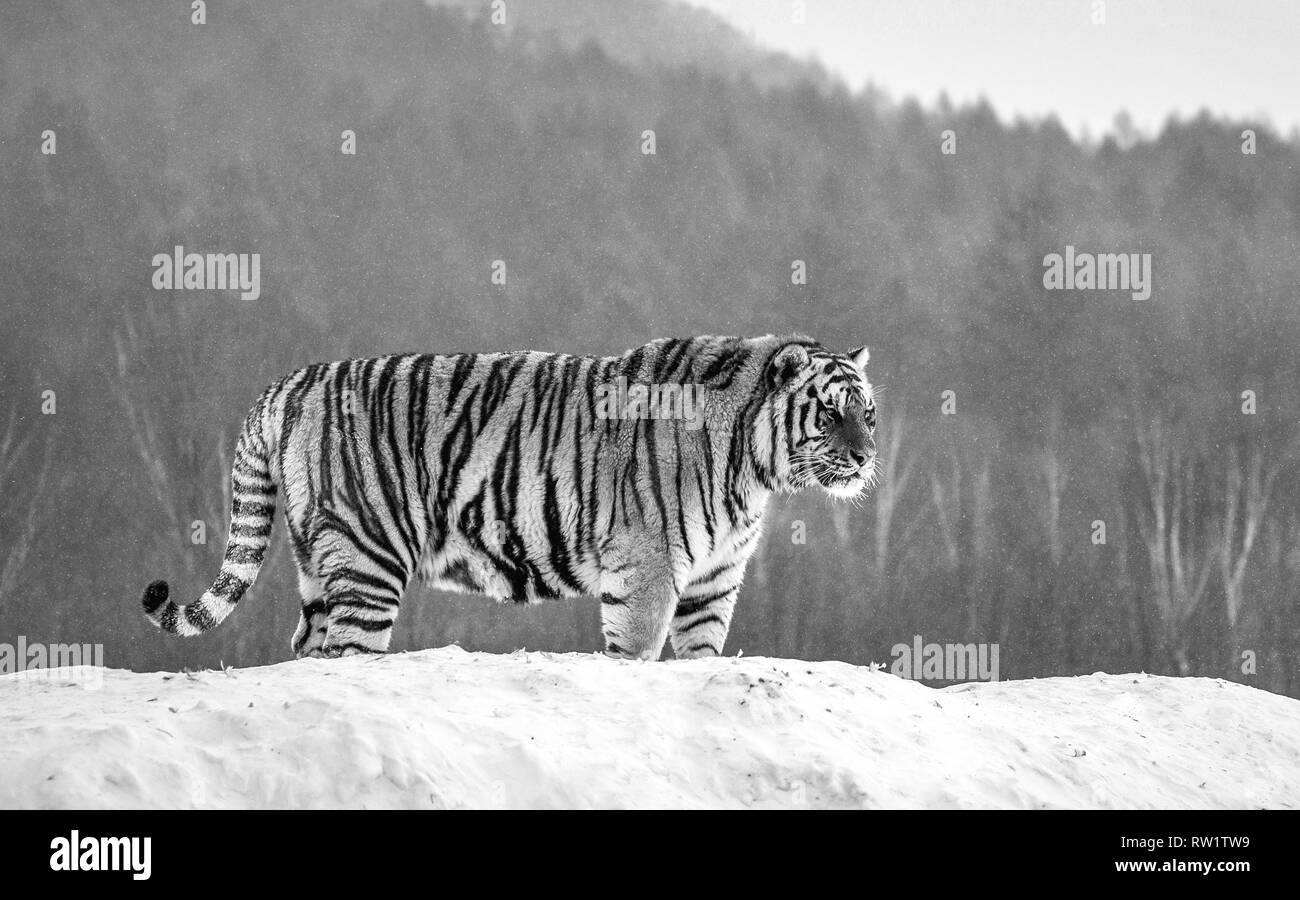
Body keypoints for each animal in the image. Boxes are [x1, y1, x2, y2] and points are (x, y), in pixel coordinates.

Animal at [141, 334, 878, 661]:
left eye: (867, 412)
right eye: (830, 413)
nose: (869, 456)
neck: (753, 469)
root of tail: (288, 383)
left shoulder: (715, 579)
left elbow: (701, 655)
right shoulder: (646, 572)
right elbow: (636, 653)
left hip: (318, 563)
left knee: (307, 641)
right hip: (367, 557)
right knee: (343, 652)